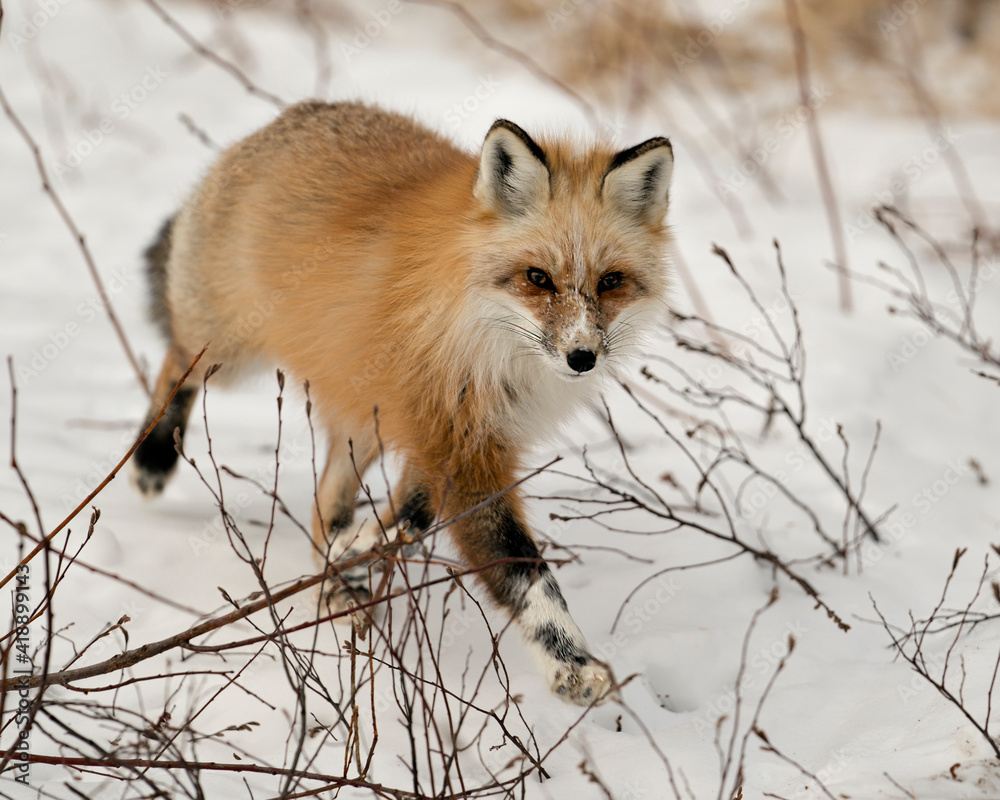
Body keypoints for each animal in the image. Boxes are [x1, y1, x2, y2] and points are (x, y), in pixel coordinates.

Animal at [132, 100, 673, 705]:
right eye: (537, 278)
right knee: (176, 362)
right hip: (228, 349)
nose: (583, 357)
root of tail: (292, 115)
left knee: (324, 506)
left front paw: (356, 553)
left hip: (359, 417)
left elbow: (411, 521)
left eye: (611, 281)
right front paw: (571, 663)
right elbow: (523, 570)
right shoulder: (460, 447)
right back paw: (152, 459)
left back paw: (337, 588)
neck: (482, 339)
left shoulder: (452, 437)